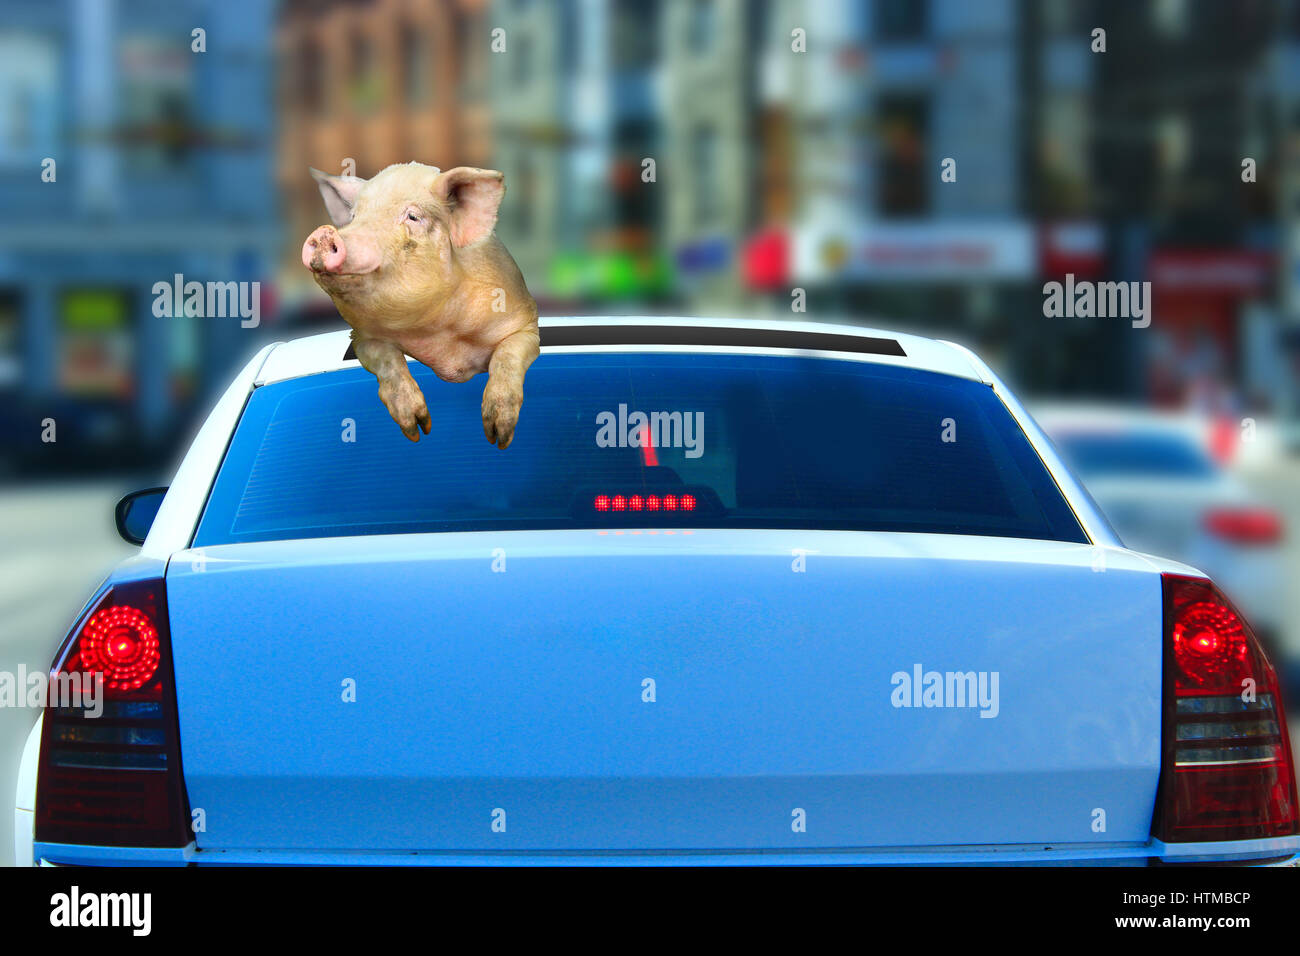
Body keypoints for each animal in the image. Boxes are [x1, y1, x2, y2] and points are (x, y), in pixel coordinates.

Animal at [301, 162, 539, 449]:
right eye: (355, 216)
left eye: (413, 216)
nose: (324, 233)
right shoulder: (362, 338)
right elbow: (387, 362)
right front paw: (419, 430)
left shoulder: (525, 322)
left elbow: (507, 356)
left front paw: (498, 437)